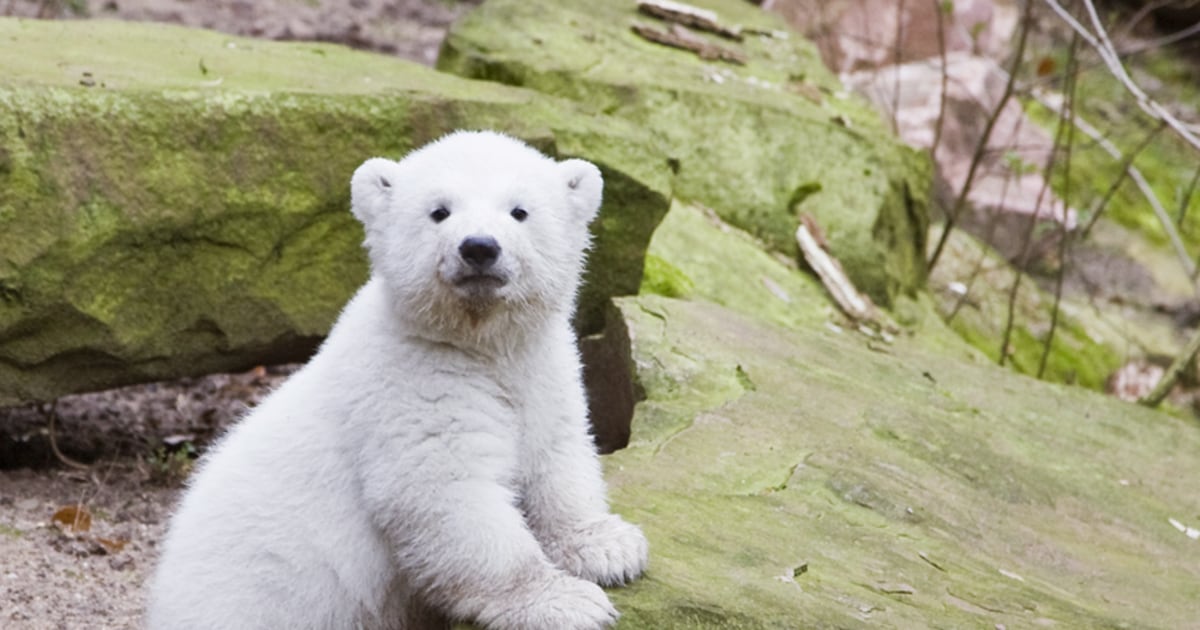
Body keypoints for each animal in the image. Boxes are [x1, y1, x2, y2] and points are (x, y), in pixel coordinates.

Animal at [146, 130, 649, 630]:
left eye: (519, 210)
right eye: (440, 211)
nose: (479, 247)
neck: (478, 343)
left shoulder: (543, 369)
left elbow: (556, 452)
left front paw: (608, 545)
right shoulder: (412, 385)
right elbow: (448, 492)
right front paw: (565, 601)